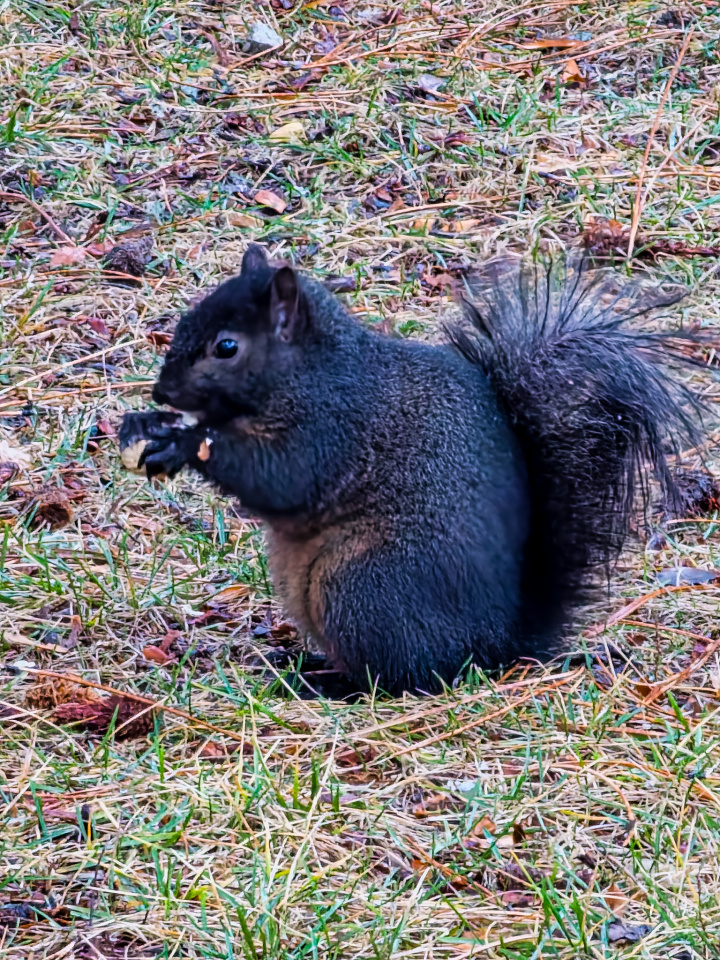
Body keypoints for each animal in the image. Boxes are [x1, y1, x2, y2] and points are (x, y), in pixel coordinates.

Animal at [119, 244, 703, 694]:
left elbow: (282, 477)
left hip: (362, 586)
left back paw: (327, 685)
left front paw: (185, 442)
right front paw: (145, 424)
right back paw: (306, 661)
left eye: (227, 347)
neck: (307, 371)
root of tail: (495, 646)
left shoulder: (334, 427)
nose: (161, 392)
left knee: (407, 675)